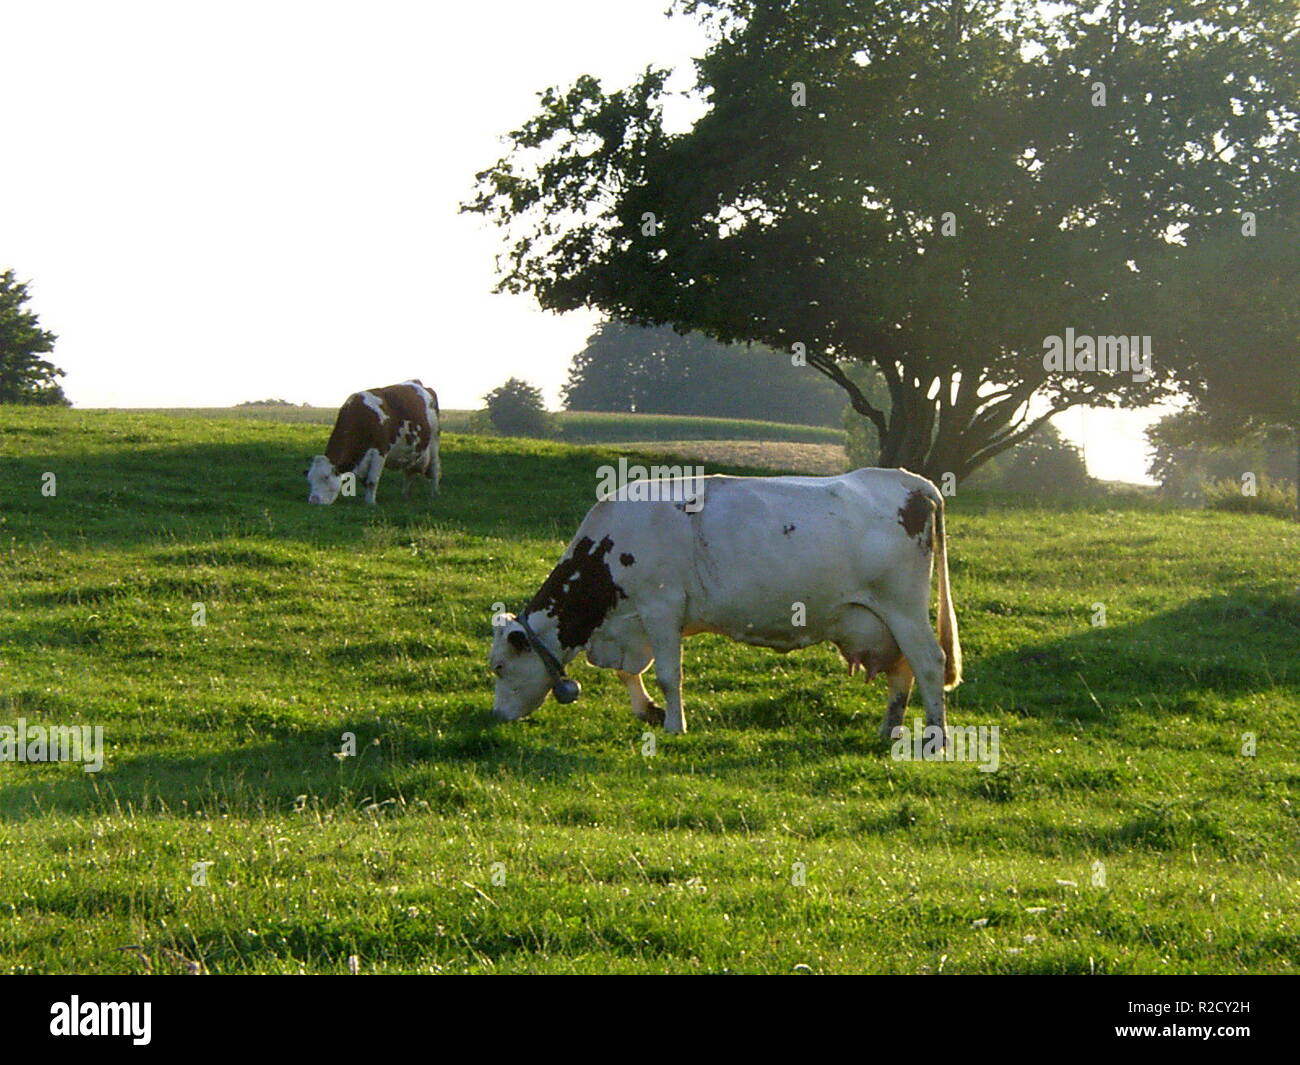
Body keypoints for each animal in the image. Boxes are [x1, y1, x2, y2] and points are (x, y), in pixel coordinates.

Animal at [306, 380, 441, 504]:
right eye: (310, 480)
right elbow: (366, 481)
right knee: (409, 472)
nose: (313, 501)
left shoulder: (380, 450)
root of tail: (419, 383)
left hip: (434, 441)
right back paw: (405, 495)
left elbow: (371, 481)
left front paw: (370, 503)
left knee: (434, 468)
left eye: (326, 477)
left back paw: (434, 494)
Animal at [489, 467, 961, 741]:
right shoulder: (631, 623)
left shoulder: (661, 607)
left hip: (904, 608)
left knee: (929, 662)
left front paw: (674, 725)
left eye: (498, 667)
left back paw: (935, 736)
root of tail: (911, 481)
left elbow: (668, 675)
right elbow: (628, 672)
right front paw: (648, 710)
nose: (495, 716)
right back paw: (889, 730)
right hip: (884, 620)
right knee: (903, 670)